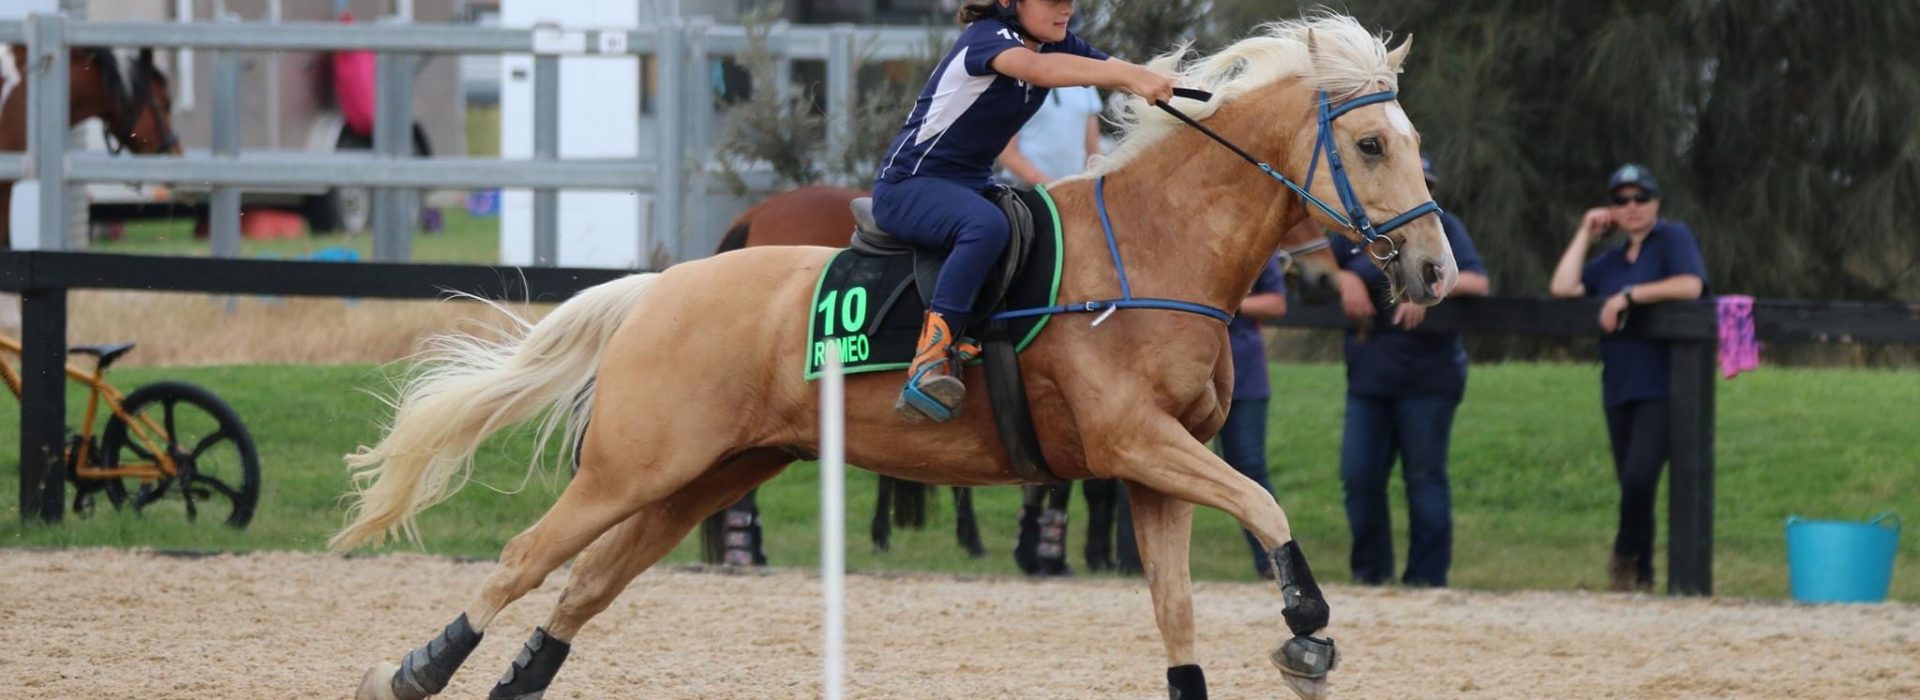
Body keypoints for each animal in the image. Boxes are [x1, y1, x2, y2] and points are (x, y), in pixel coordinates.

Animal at [335, 15, 1455, 700]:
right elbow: (1266, 506)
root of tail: (663, 287)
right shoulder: (1137, 442)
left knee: (585, 586)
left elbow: (1178, 610)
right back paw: (418, 667)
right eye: (1368, 147)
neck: (1153, 247)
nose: (1437, 270)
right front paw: (1308, 626)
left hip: (704, 476)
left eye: (1412, 144)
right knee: (528, 559)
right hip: (631, 470)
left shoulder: (1153, 473)